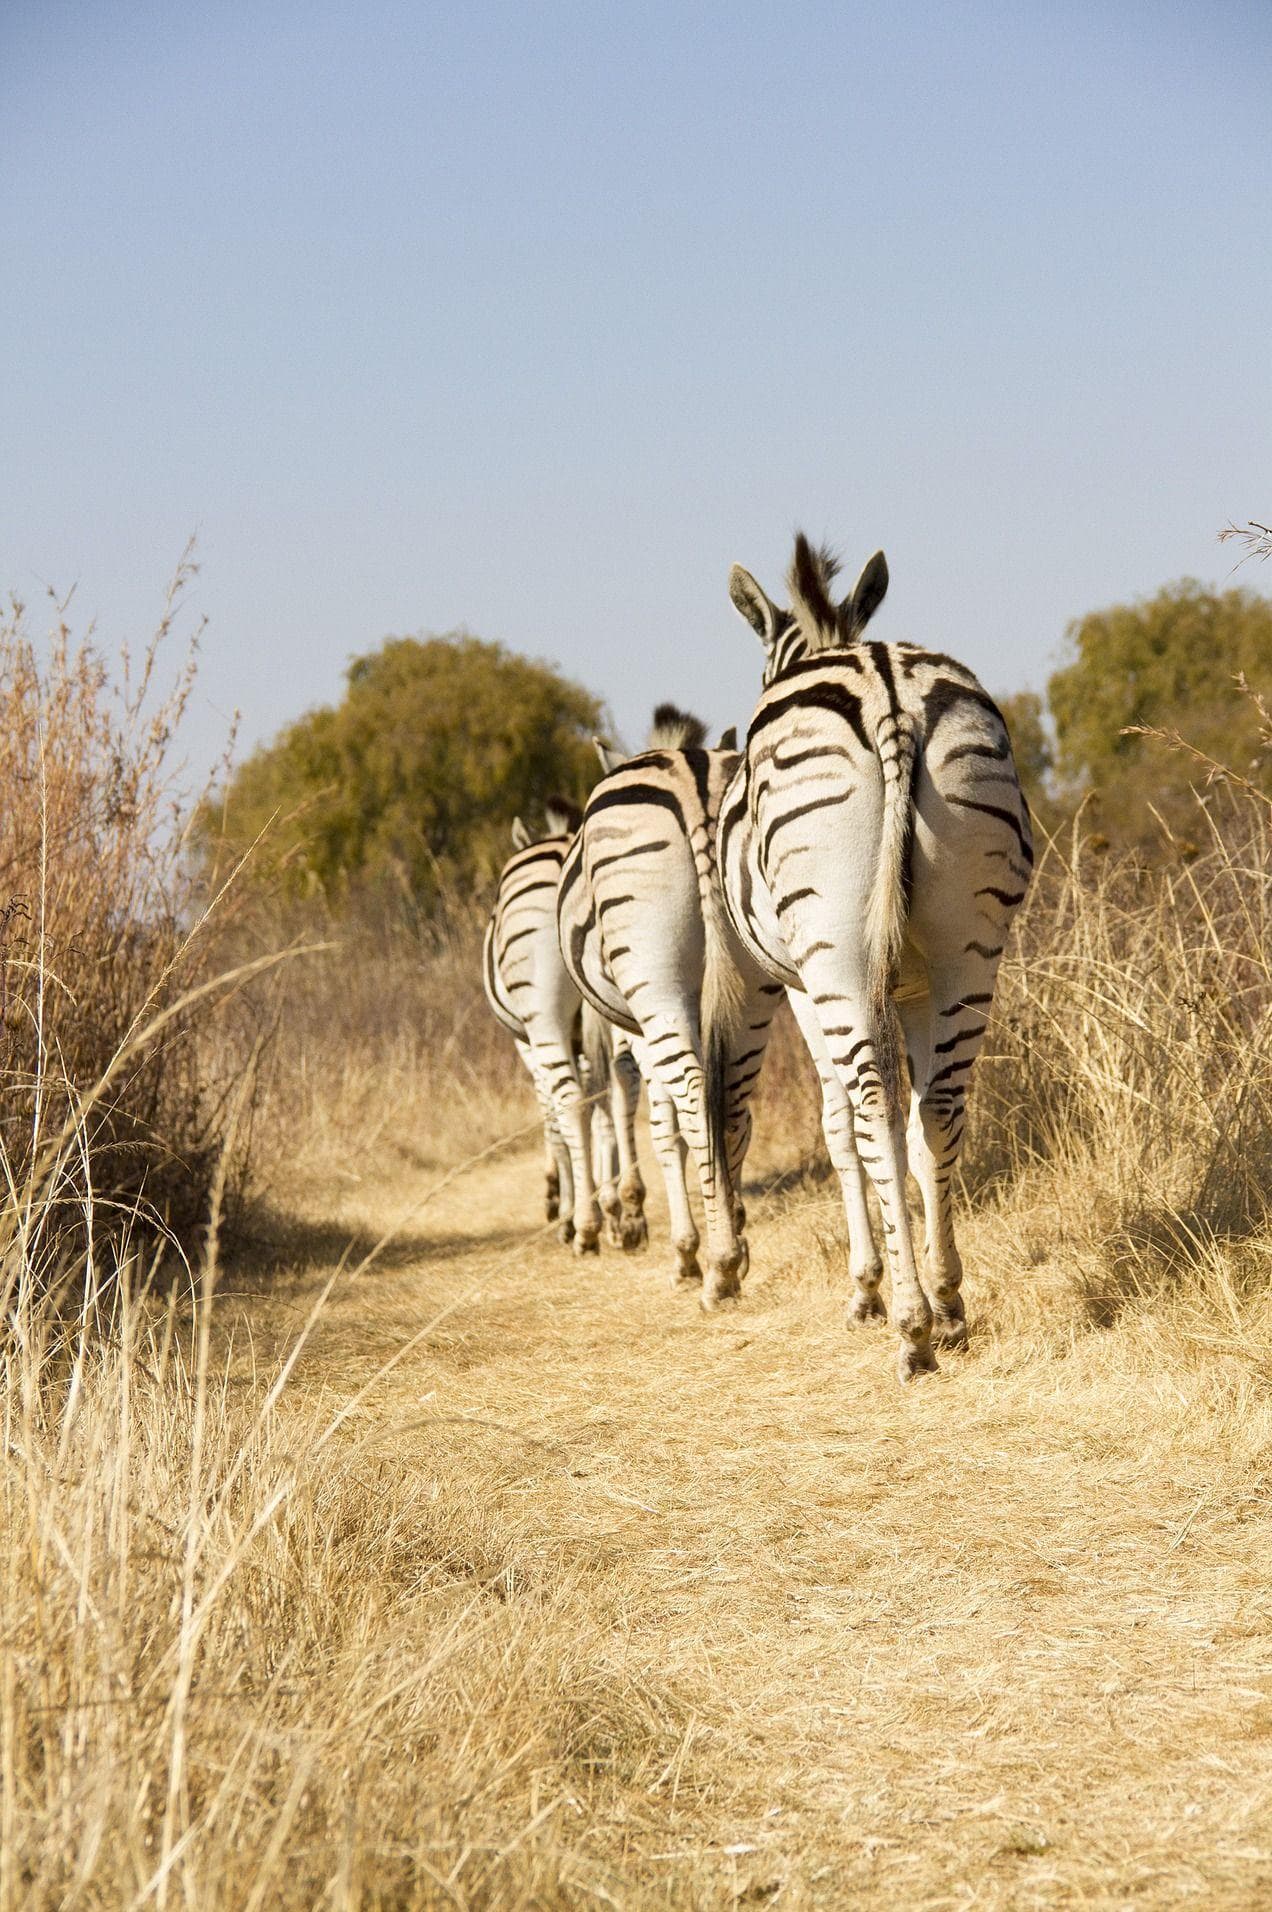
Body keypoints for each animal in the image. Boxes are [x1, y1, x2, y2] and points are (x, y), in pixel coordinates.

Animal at [483, 800, 647, 1252]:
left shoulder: (527, 1044)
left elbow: (554, 1116)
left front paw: (562, 1204)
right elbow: (600, 1108)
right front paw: (612, 1209)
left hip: (544, 1019)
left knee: (570, 1101)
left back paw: (584, 1227)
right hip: (620, 993)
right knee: (624, 1081)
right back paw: (630, 1210)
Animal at [558, 705, 785, 1303]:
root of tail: (691, 779)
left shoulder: (638, 1030)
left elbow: (663, 1128)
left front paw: (686, 1252)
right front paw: (734, 1221)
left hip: (652, 978)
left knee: (692, 1100)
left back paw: (718, 1268)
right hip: (752, 975)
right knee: (731, 1102)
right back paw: (730, 1247)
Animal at [720, 534, 1033, 1381]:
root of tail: (888, 691)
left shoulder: (802, 988)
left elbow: (839, 1127)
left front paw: (864, 1287)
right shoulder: (917, 987)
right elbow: (917, 1127)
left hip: (835, 953)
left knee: (868, 1106)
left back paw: (910, 1326)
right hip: (968, 946)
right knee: (939, 1108)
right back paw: (949, 1302)